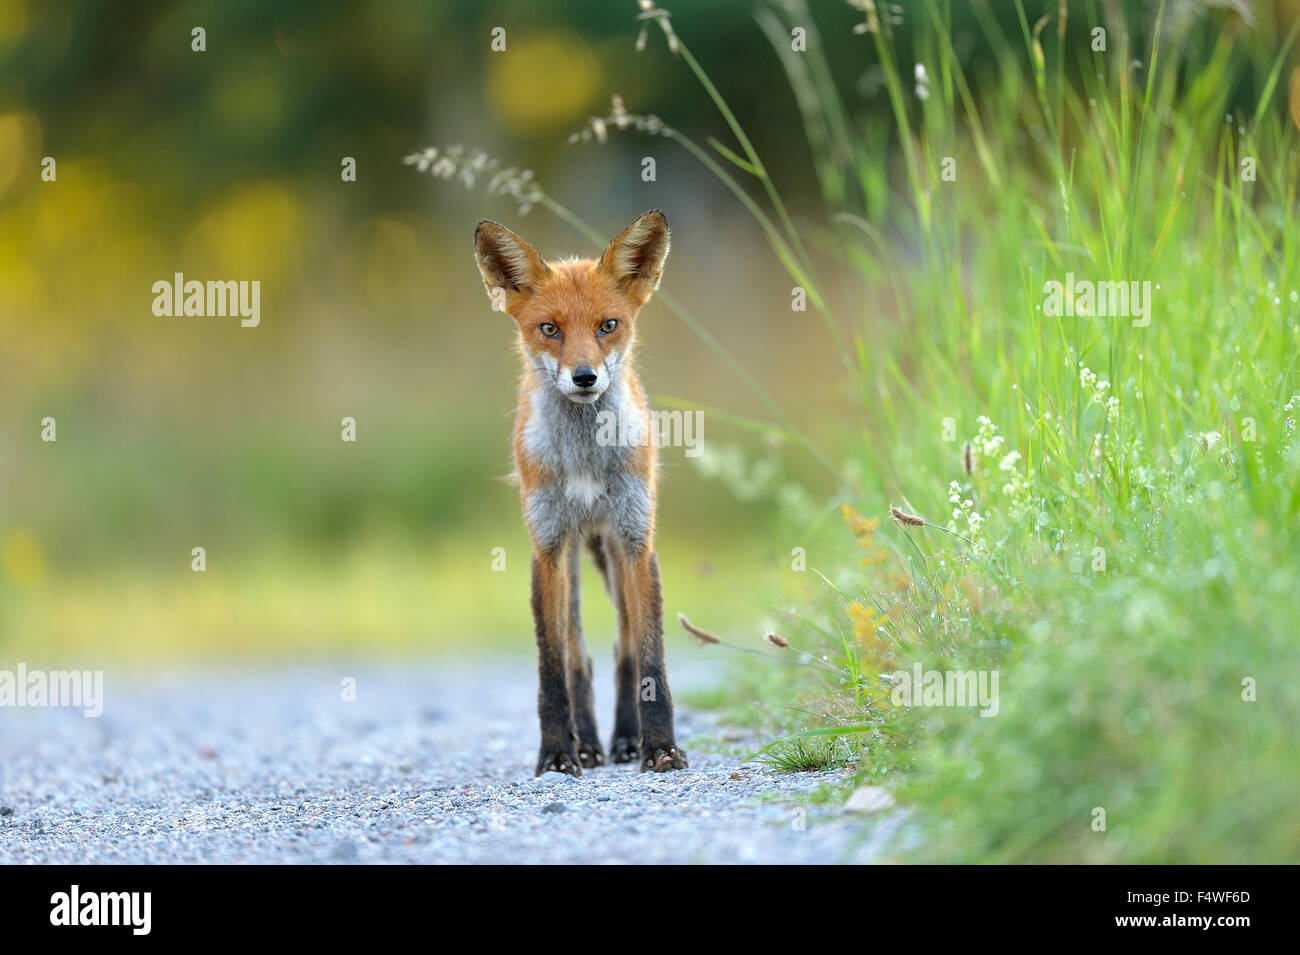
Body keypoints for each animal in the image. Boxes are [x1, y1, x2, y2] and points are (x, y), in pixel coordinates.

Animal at [473, 209, 688, 776]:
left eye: (607, 325)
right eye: (550, 329)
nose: (585, 377)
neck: (588, 462)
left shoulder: (637, 541)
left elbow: (650, 657)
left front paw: (660, 748)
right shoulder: (547, 547)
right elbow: (554, 667)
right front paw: (556, 753)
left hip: (610, 552)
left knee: (621, 648)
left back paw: (625, 739)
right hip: (571, 558)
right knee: (581, 658)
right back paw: (588, 743)